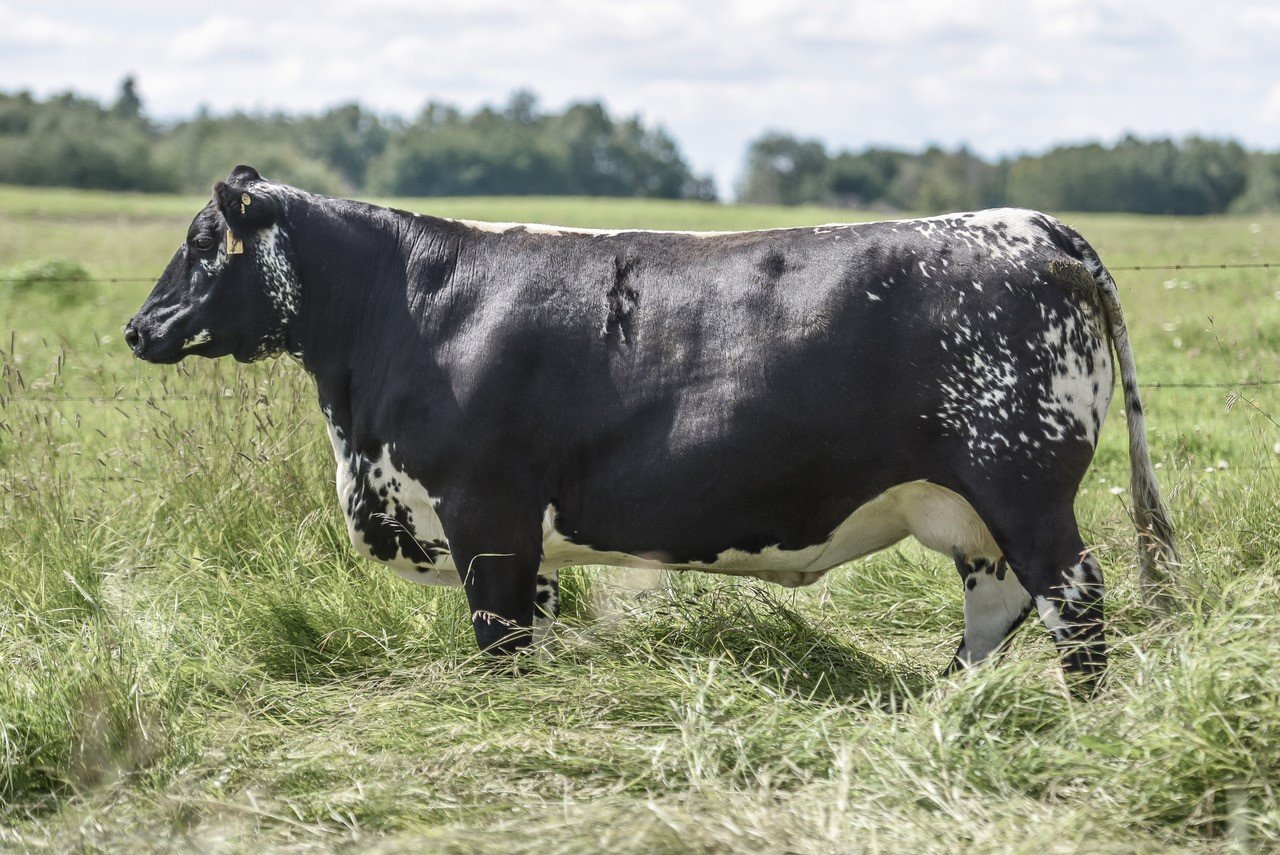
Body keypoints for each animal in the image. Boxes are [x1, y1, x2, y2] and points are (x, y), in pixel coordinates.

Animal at [126, 166, 1179, 694]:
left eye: (199, 242)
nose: (138, 327)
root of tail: (1033, 226)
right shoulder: (521, 534)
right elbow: (532, 626)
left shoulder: (485, 510)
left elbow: (498, 639)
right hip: (968, 505)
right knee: (1000, 603)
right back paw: (939, 703)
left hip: (1024, 482)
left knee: (1074, 600)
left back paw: (1080, 714)